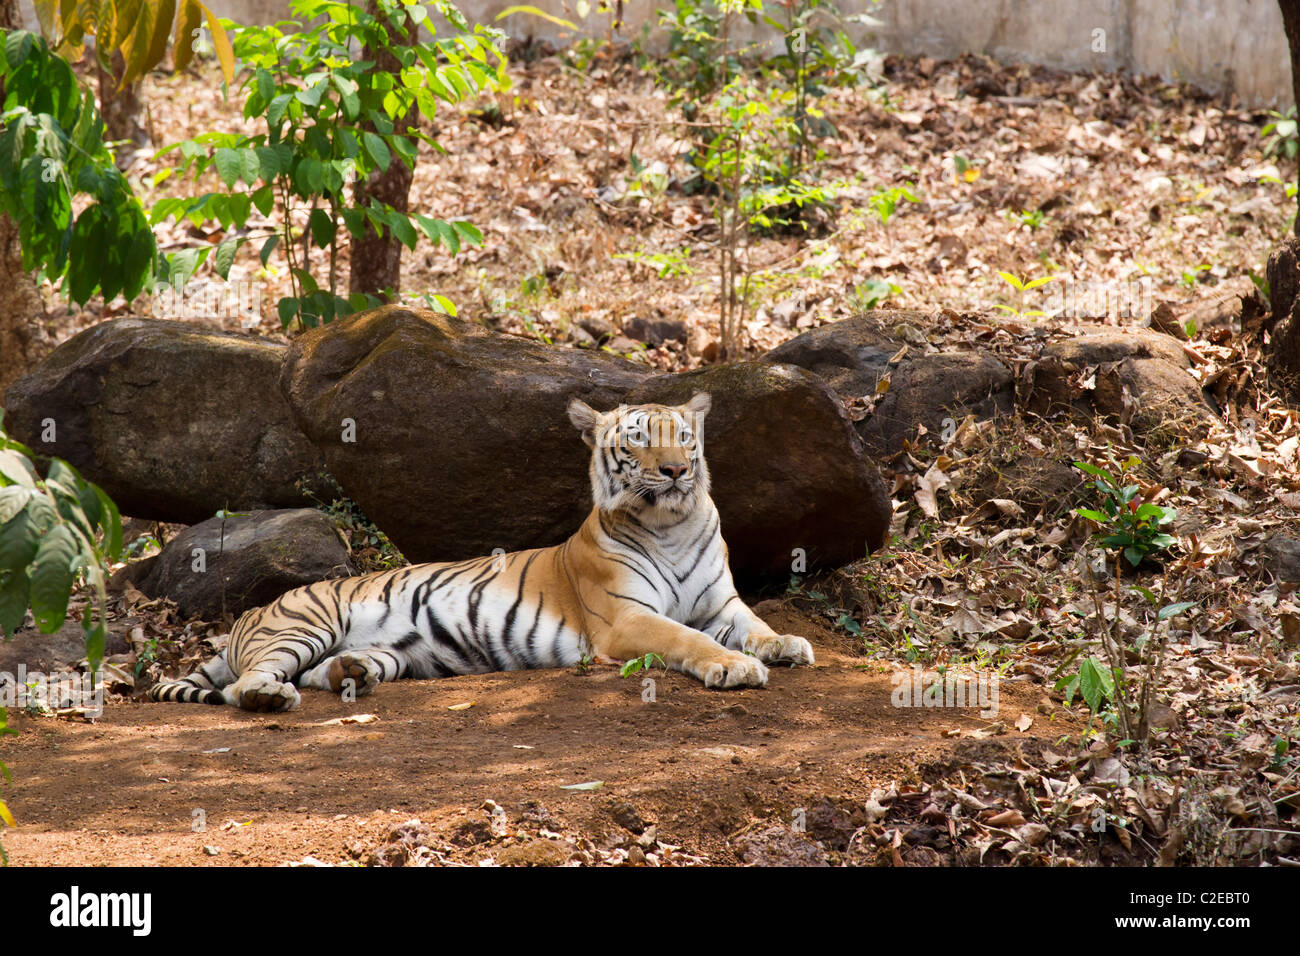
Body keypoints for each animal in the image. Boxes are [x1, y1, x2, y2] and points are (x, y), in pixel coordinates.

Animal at [149, 391, 814, 712]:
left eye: (682, 437)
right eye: (638, 440)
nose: (676, 470)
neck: (672, 524)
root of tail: (249, 617)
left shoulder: (721, 603)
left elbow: (754, 624)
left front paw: (785, 644)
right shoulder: (626, 618)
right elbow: (687, 638)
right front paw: (733, 667)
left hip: (393, 655)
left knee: (322, 673)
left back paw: (350, 674)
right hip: (304, 622)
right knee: (247, 683)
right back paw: (268, 696)